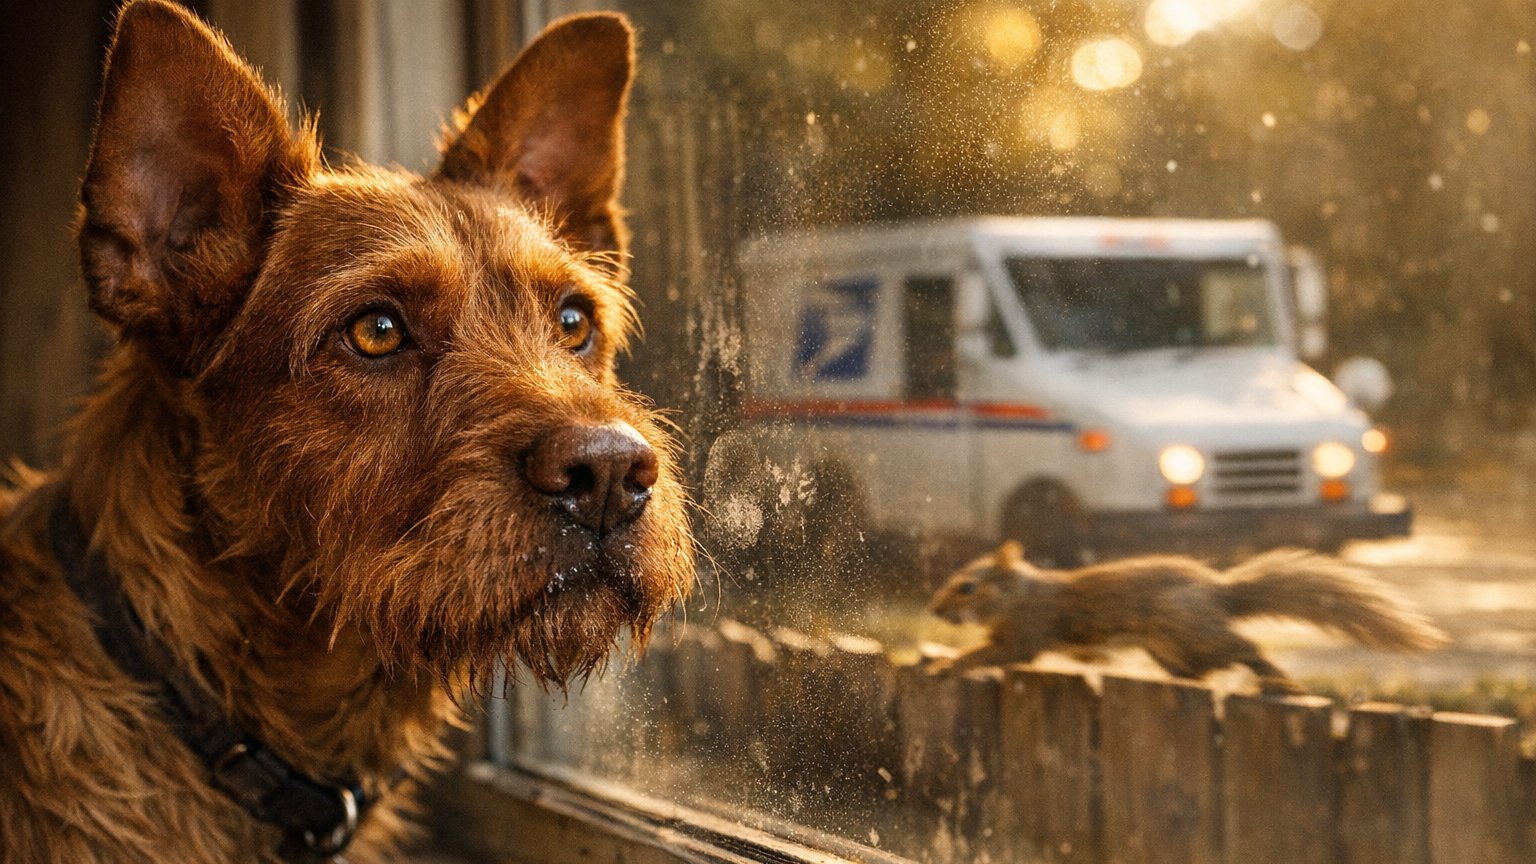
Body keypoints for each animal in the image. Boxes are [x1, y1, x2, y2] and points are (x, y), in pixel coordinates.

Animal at [926, 541, 1449, 693]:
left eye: (967, 586)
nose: (934, 610)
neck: (1018, 594)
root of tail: (1218, 591)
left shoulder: (1030, 630)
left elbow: (996, 652)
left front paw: (947, 664)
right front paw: (938, 651)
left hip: (1186, 630)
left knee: (1244, 647)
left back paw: (1277, 679)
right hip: (1169, 649)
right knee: (1205, 669)